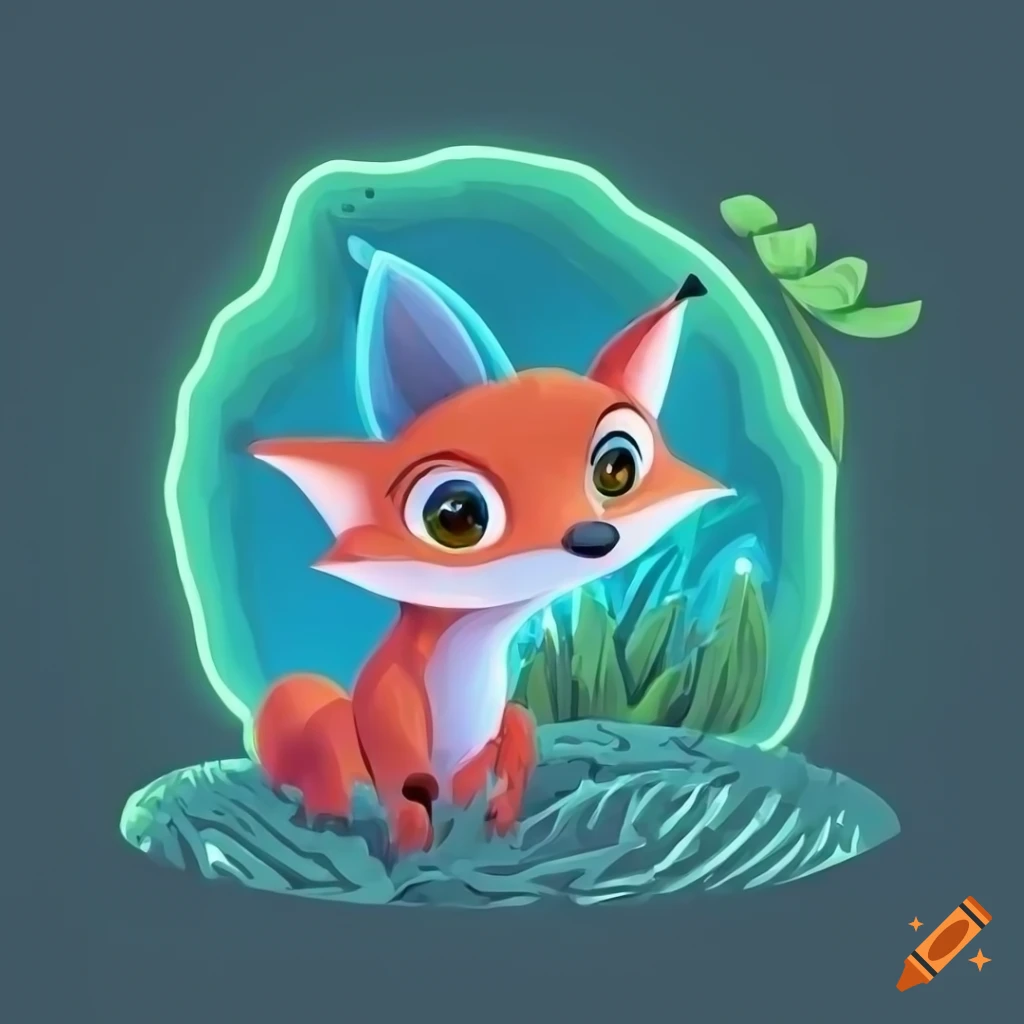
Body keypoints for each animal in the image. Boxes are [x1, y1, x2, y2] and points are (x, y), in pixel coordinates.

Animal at [248, 237, 733, 856]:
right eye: (456, 515)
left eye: (617, 467)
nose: (594, 537)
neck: (475, 638)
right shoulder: (387, 700)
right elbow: (401, 779)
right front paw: (411, 857)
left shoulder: (497, 727)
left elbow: (519, 728)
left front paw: (502, 826)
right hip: (329, 737)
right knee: (330, 748)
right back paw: (334, 820)